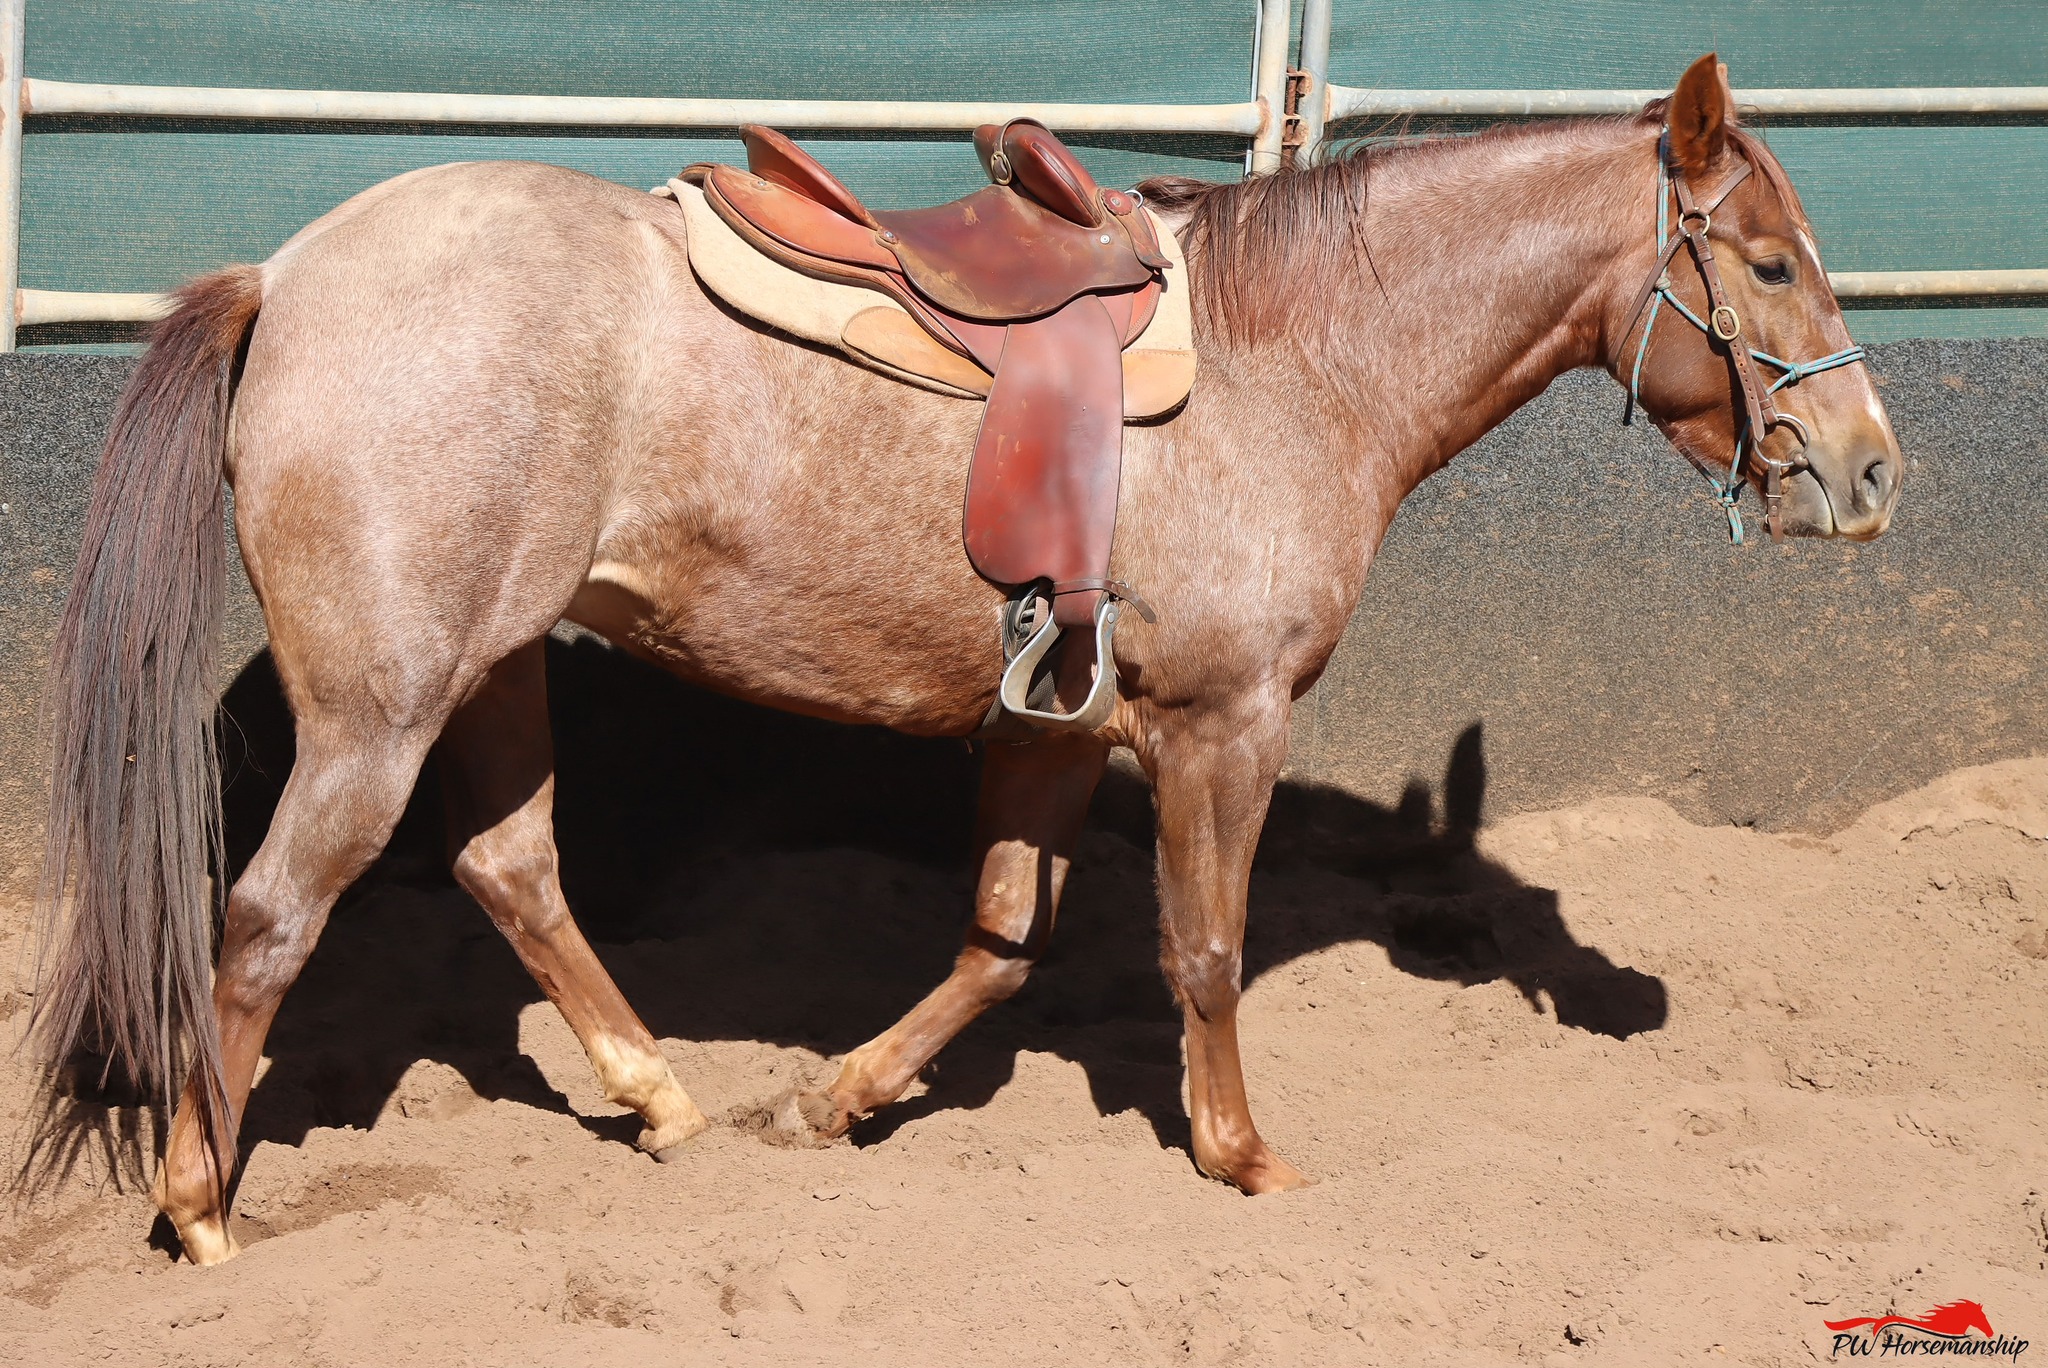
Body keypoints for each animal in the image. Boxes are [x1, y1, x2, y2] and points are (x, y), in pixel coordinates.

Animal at [34, 52, 1902, 1265]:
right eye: (1764, 262)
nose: (1869, 470)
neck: (1295, 357)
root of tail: (286, 276)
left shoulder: (1060, 726)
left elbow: (1005, 942)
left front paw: (835, 1103)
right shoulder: (1220, 724)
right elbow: (1205, 950)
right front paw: (1243, 1157)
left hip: (489, 670)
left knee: (510, 871)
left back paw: (663, 1098)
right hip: (383, 705)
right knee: (268, 919)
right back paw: (201, 1208)